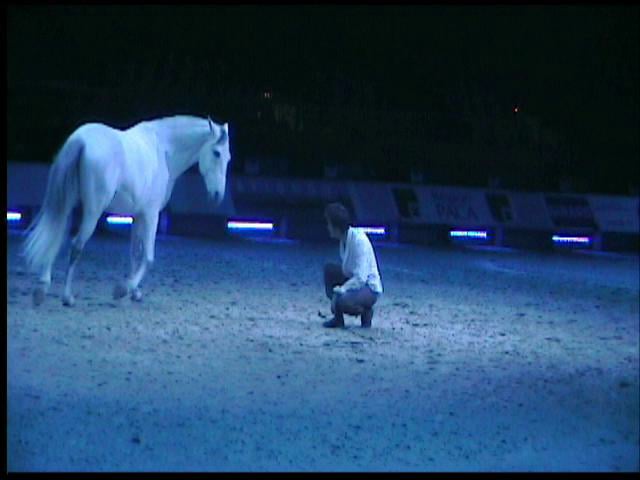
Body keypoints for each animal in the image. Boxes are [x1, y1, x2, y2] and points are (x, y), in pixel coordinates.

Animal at [22, 115, 231, 307]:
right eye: (216, 153)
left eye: (228, 158)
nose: (218, 195)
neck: (164, 149)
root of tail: (80, 140)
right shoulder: (151, 214)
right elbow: (148, 257)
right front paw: (123, 289)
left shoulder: (138, 215)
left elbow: (135, 253)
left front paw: (135, 292)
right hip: (92, 212)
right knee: (76, 246)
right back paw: (67, 297)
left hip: (67, 205)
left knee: (56, 236)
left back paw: (42, 288)